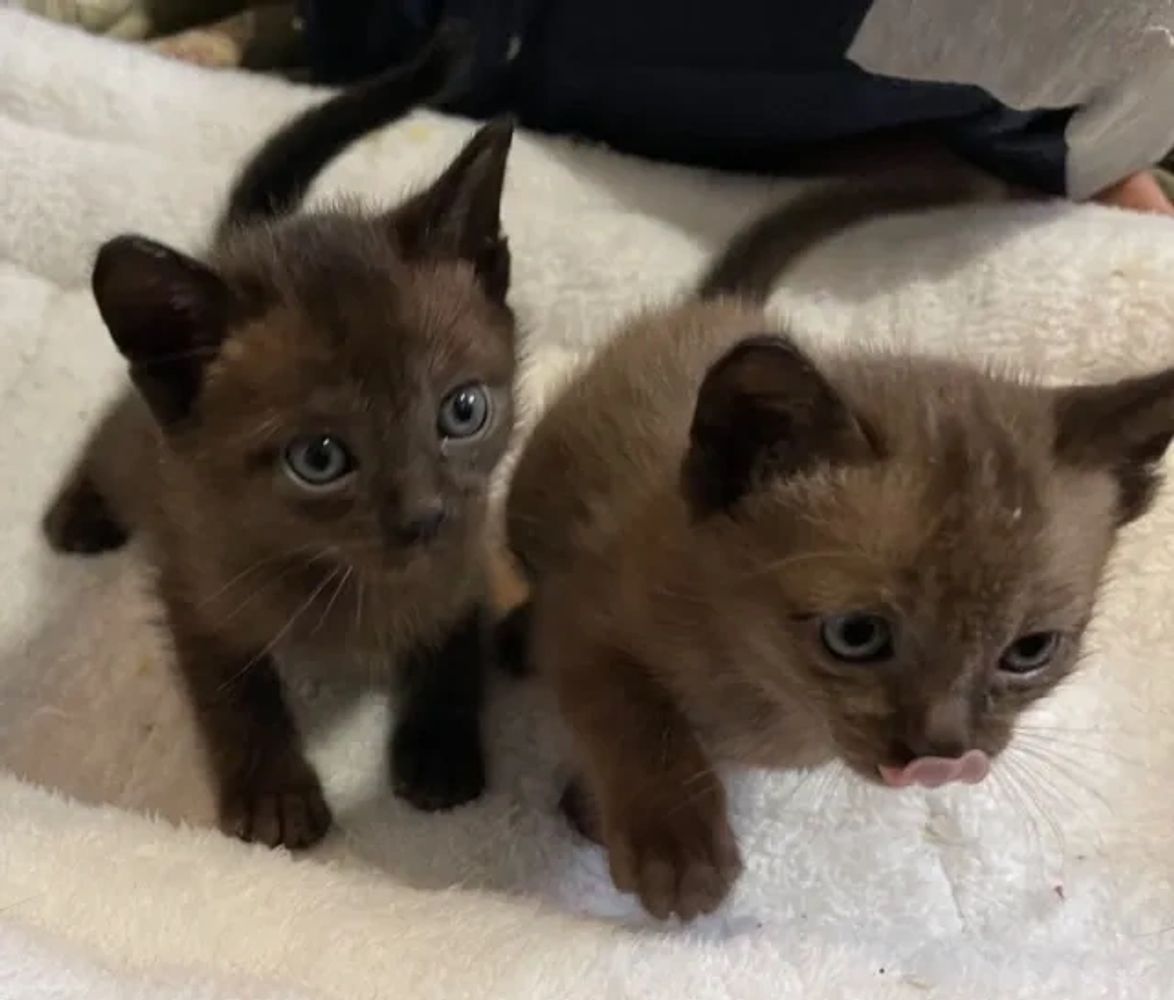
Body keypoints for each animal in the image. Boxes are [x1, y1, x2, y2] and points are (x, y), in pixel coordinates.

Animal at [43, 29, 518, 845]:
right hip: (147, 456)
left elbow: (455, 641)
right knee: (113, 434)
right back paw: (77, 513)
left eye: (463, 411)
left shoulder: (469, 550)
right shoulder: (195, 580)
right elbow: (235, 689)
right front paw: (274, 794)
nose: (424, 517)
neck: (344, 575)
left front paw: (439, 748)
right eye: (319, 459)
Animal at [507, 176, 1174, 920]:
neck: (774, 705)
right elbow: (635, 713)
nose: (943, 752)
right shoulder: (579, 611)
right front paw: (677, 851)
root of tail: (722, 307)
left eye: (1029, 652)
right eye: (856, 635)